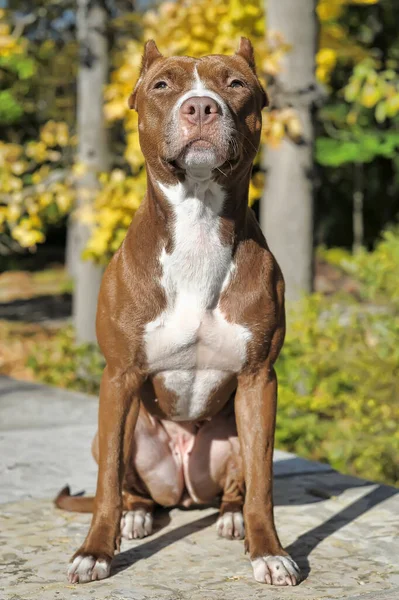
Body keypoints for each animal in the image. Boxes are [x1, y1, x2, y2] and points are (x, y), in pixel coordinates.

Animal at [55, 36, 300, 584]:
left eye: (236, 83)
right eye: (162, 85)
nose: (202, 106)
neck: (198, 224)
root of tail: (184, 494)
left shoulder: (260, 378)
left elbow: (264, 483)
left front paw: (268, 550)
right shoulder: (119, 376)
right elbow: (105, 485)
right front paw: (95, 552)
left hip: (232, 433)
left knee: (238, 484)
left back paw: (230, 517)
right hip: (122, 431)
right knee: (126, 481)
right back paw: (137, 514)